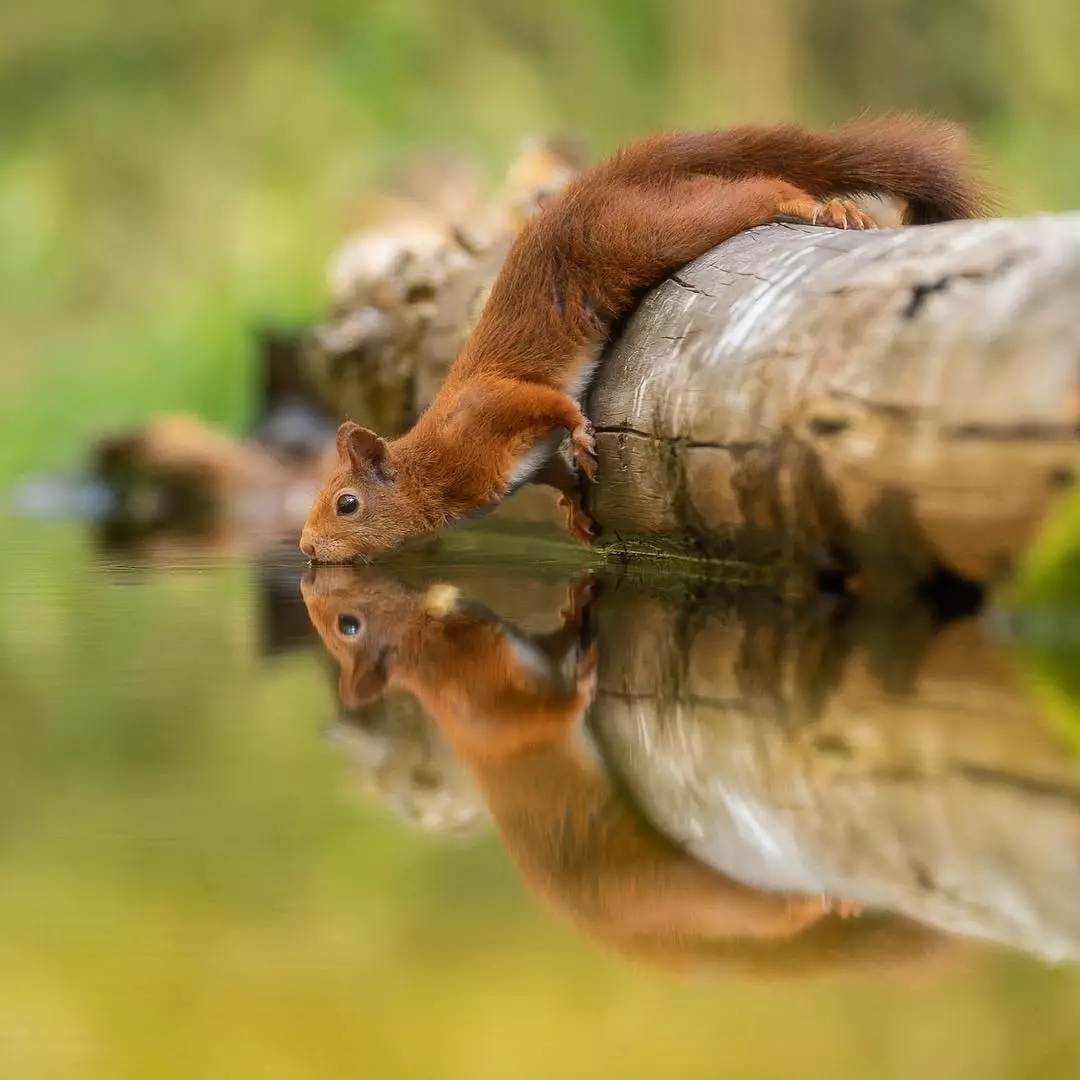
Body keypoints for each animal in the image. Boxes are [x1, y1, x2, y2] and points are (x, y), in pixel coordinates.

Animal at [298, 116, 989, 565]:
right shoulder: (520, 459)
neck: (435, 462)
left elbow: (546, 401)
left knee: (754, 192)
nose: (305, 548)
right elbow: (556, 470)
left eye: (347, 504)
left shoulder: (488, 409)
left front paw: (581, 430)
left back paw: (820, 207)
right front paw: (575, 509)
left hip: (646, 230)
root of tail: (602, 182)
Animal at [300, 570, 950, 976]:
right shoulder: (491, 711)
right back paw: (823, 899)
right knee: (762, 910)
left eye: (344, 623)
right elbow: (543, 717)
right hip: (668, 887)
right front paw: (585, 679)